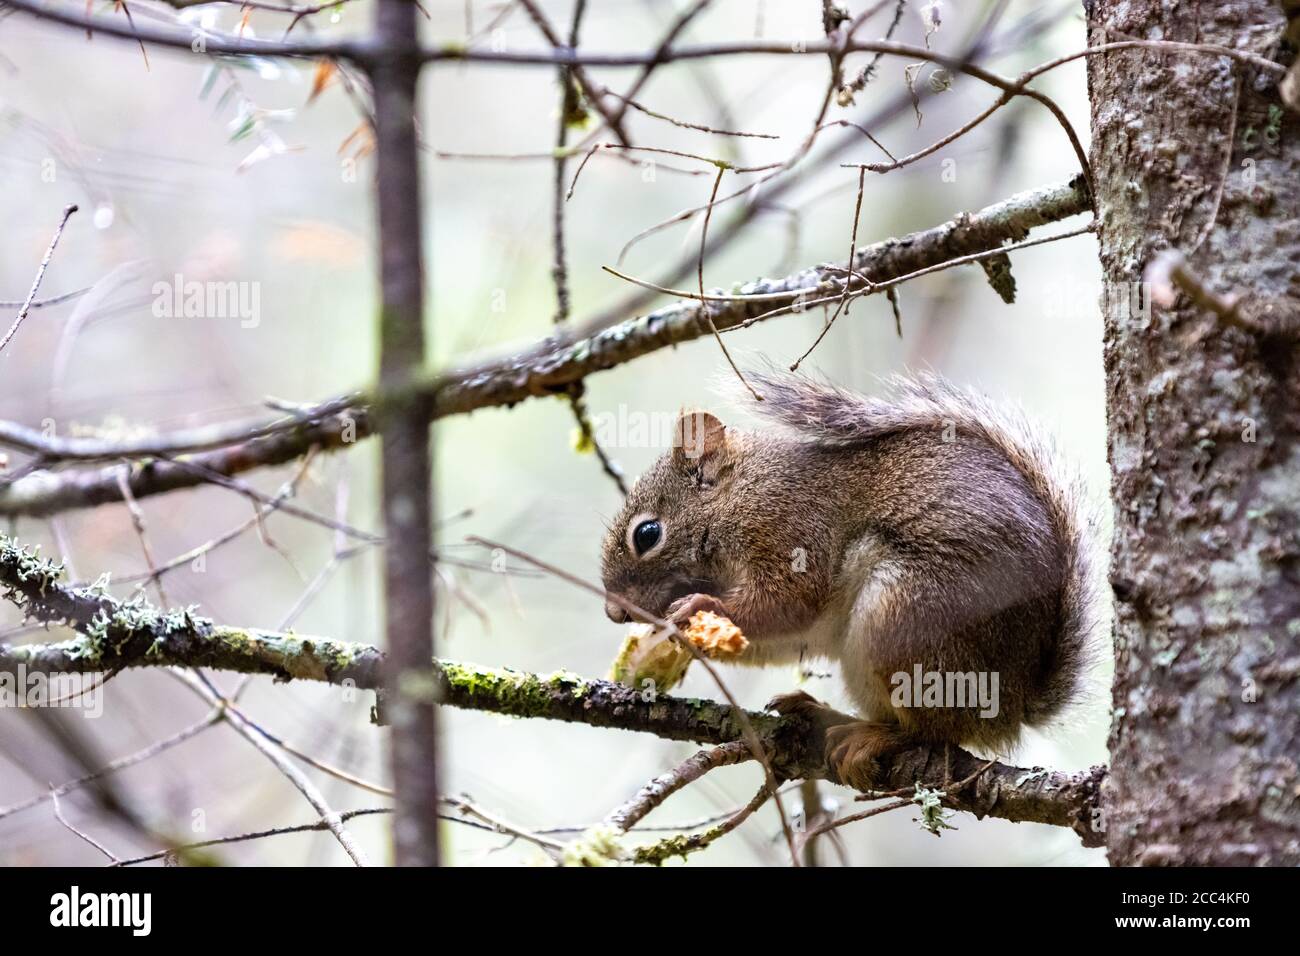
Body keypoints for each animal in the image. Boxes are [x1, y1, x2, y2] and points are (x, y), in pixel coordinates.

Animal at [599, 370, 1103, 790]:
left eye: (647, 533)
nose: (613, 612)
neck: (741, 493)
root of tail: (1013, 705)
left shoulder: (791, 532)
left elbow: (786, 603)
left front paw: (701, 610)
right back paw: (822, 713)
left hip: (903, 620)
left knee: (936, 731)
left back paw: (877, 738)